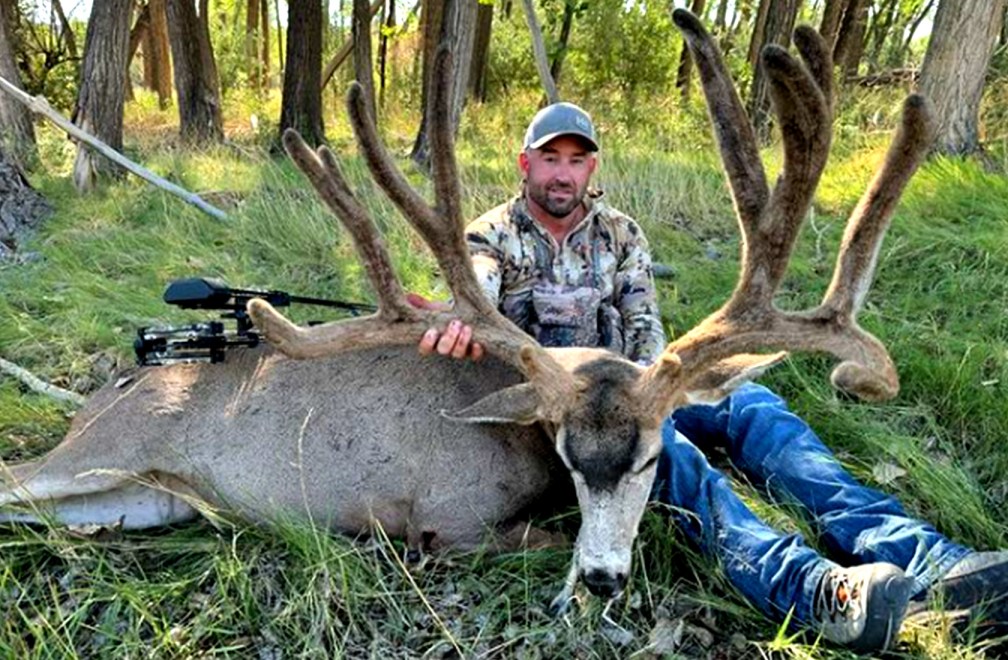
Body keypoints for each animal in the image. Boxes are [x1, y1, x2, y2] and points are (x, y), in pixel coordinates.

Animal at [0, 11, 935, 614]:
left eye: (645, 458)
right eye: (568, 453)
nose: (605, 580)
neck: (514, 444)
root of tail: (104, 393)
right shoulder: (443, 524)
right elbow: (547, 537)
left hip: (142, 498)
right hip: (105, 454)